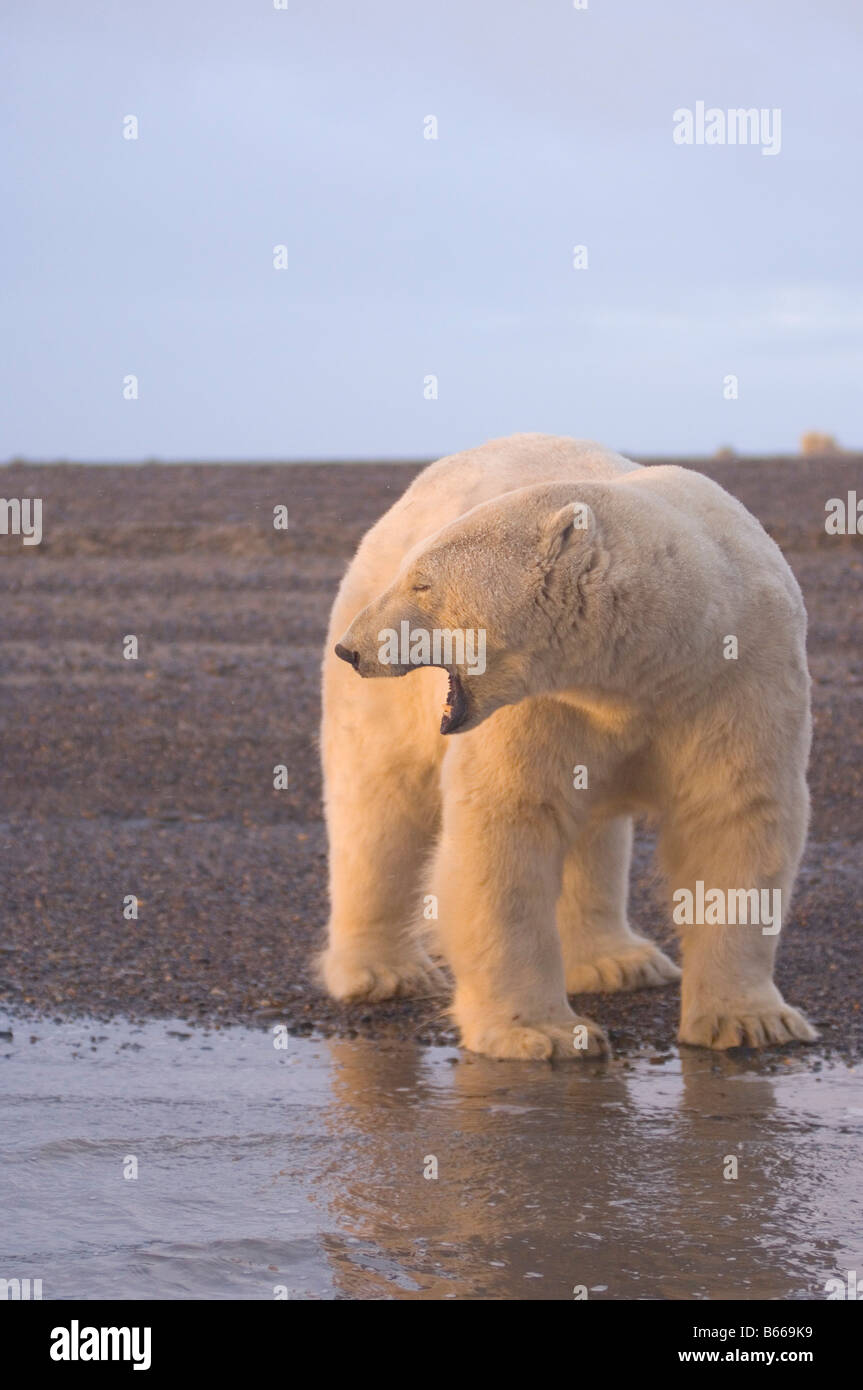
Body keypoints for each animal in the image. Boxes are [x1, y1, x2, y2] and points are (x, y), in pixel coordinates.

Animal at [319, 433, 818, 1061]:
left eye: (422, 584)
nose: (353, 648)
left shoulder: (738, 681)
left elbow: (737, 820)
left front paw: (752, 1022)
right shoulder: (542, 705)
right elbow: (506, 832)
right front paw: (544, 1033)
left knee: (591, 832)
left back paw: (618, 962)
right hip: (380, 702)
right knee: (378, 807)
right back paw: (383, 973)